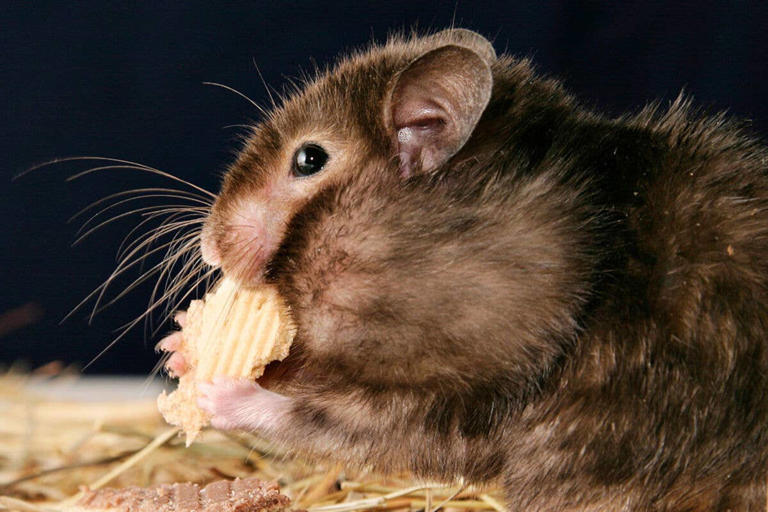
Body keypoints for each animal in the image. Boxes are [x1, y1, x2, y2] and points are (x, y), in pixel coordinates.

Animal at [161, 29, 768, 510]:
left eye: (309, 159)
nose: (208, 248)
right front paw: (180, 346)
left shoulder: (473, 394)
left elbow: (324, 421)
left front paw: (215, 391)